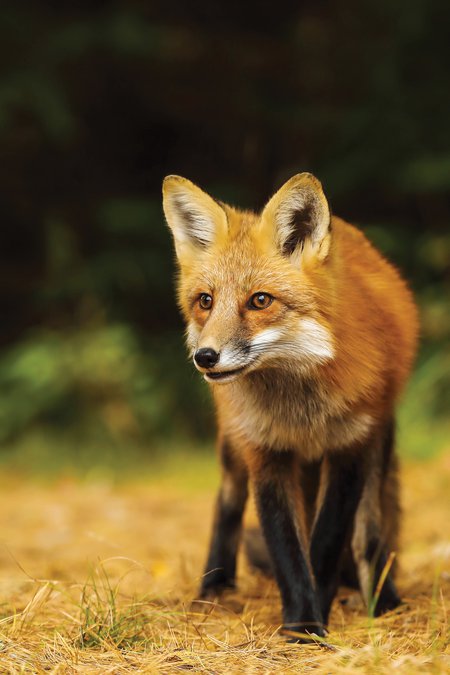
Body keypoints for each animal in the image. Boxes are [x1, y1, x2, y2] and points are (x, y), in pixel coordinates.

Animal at [162, 172, 418, 641]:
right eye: (205, 301)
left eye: (260, 300)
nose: (205, 357)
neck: (300, 413)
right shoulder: (266, 451)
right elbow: (285, 547)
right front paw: (301, 621)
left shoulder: (349, 448)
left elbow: (327, 543)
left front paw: (315, 616)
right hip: (232, 449)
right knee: (226, 506)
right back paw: (214, 589)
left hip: (381, 443)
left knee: (371, 532)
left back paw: (382, 598)